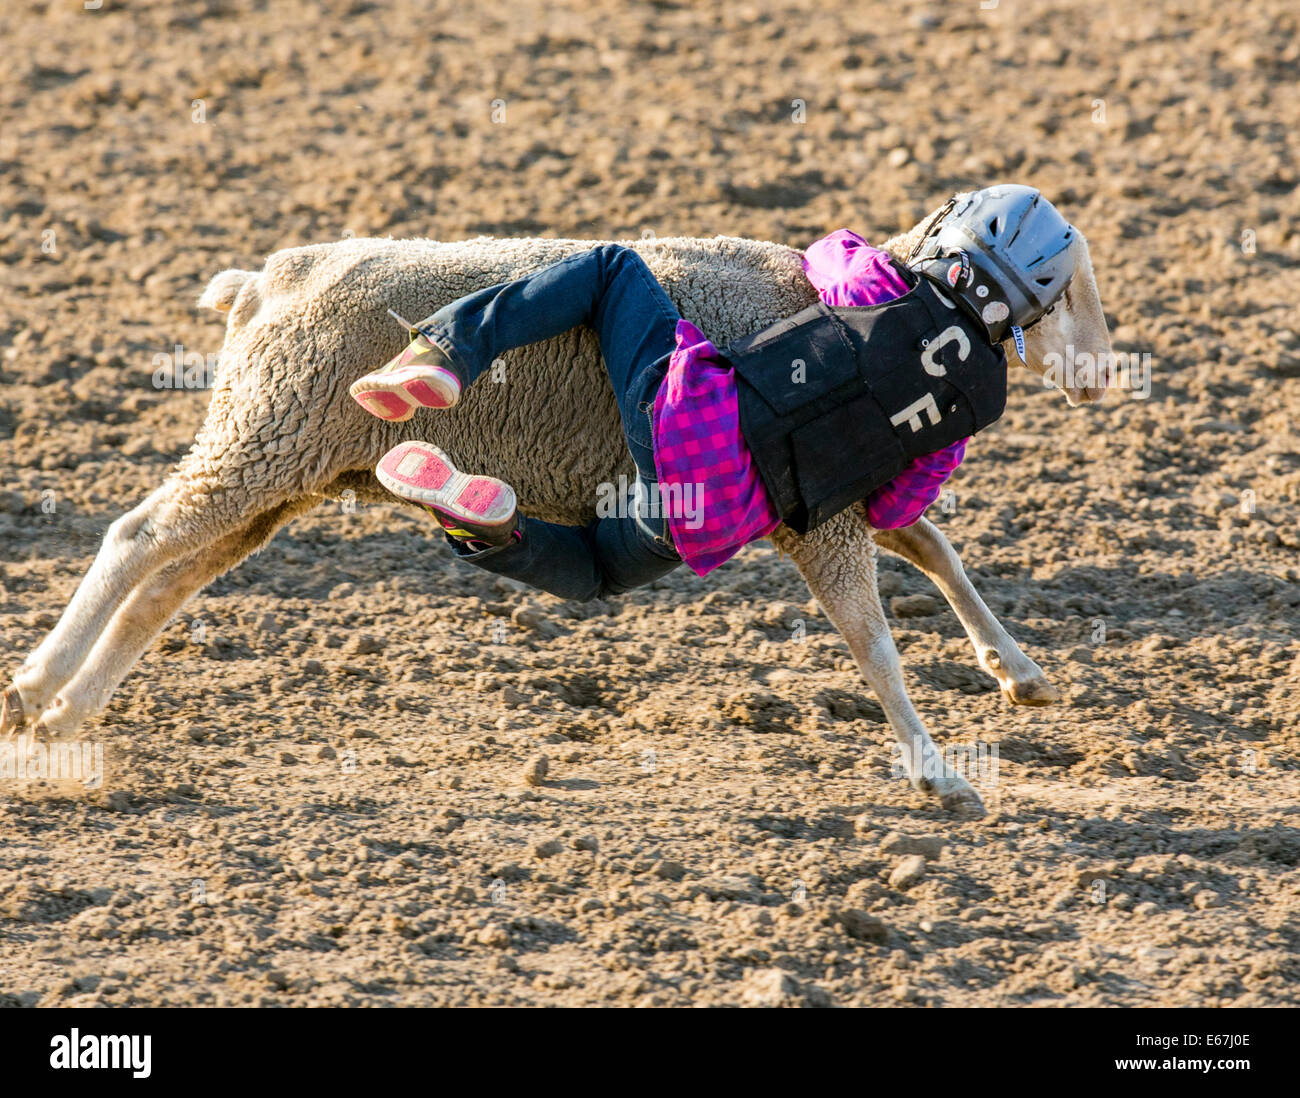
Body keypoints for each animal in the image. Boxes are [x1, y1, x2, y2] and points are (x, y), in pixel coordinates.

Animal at [0, 203, 1113, 816]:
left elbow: (935, 550)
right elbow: (875, 636)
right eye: (1069, 285)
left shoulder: (833, 502)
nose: (1106, 375)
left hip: (286, 462)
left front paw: (1016, 672)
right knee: (137, 538)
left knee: (170, 577)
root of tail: (264, 278)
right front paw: (936, 771)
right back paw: (43, 683)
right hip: (268, 431)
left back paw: (70, 712)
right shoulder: (818, 511)